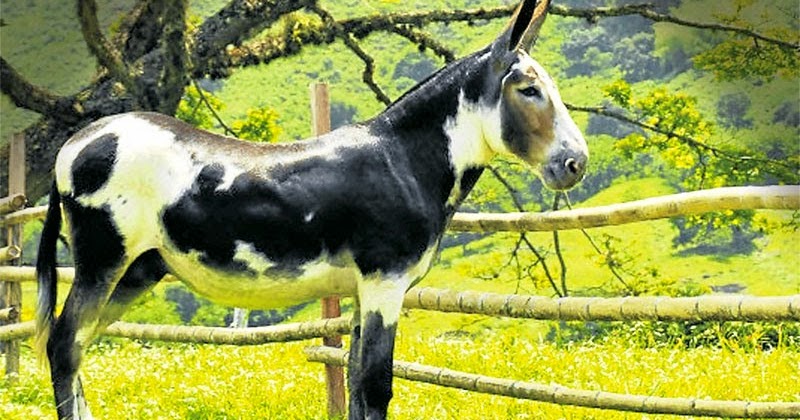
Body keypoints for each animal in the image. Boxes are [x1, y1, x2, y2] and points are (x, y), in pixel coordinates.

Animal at [36, 0, 588, 418]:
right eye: (529, 90)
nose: (577, 163)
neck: (403, 160)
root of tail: (77, 140)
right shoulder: (385, 282)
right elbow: (376, 387)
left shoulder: (366, 290)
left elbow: (356, 384)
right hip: (104, 259)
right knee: (63, 346)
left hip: (139, 270)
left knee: (78, 347)